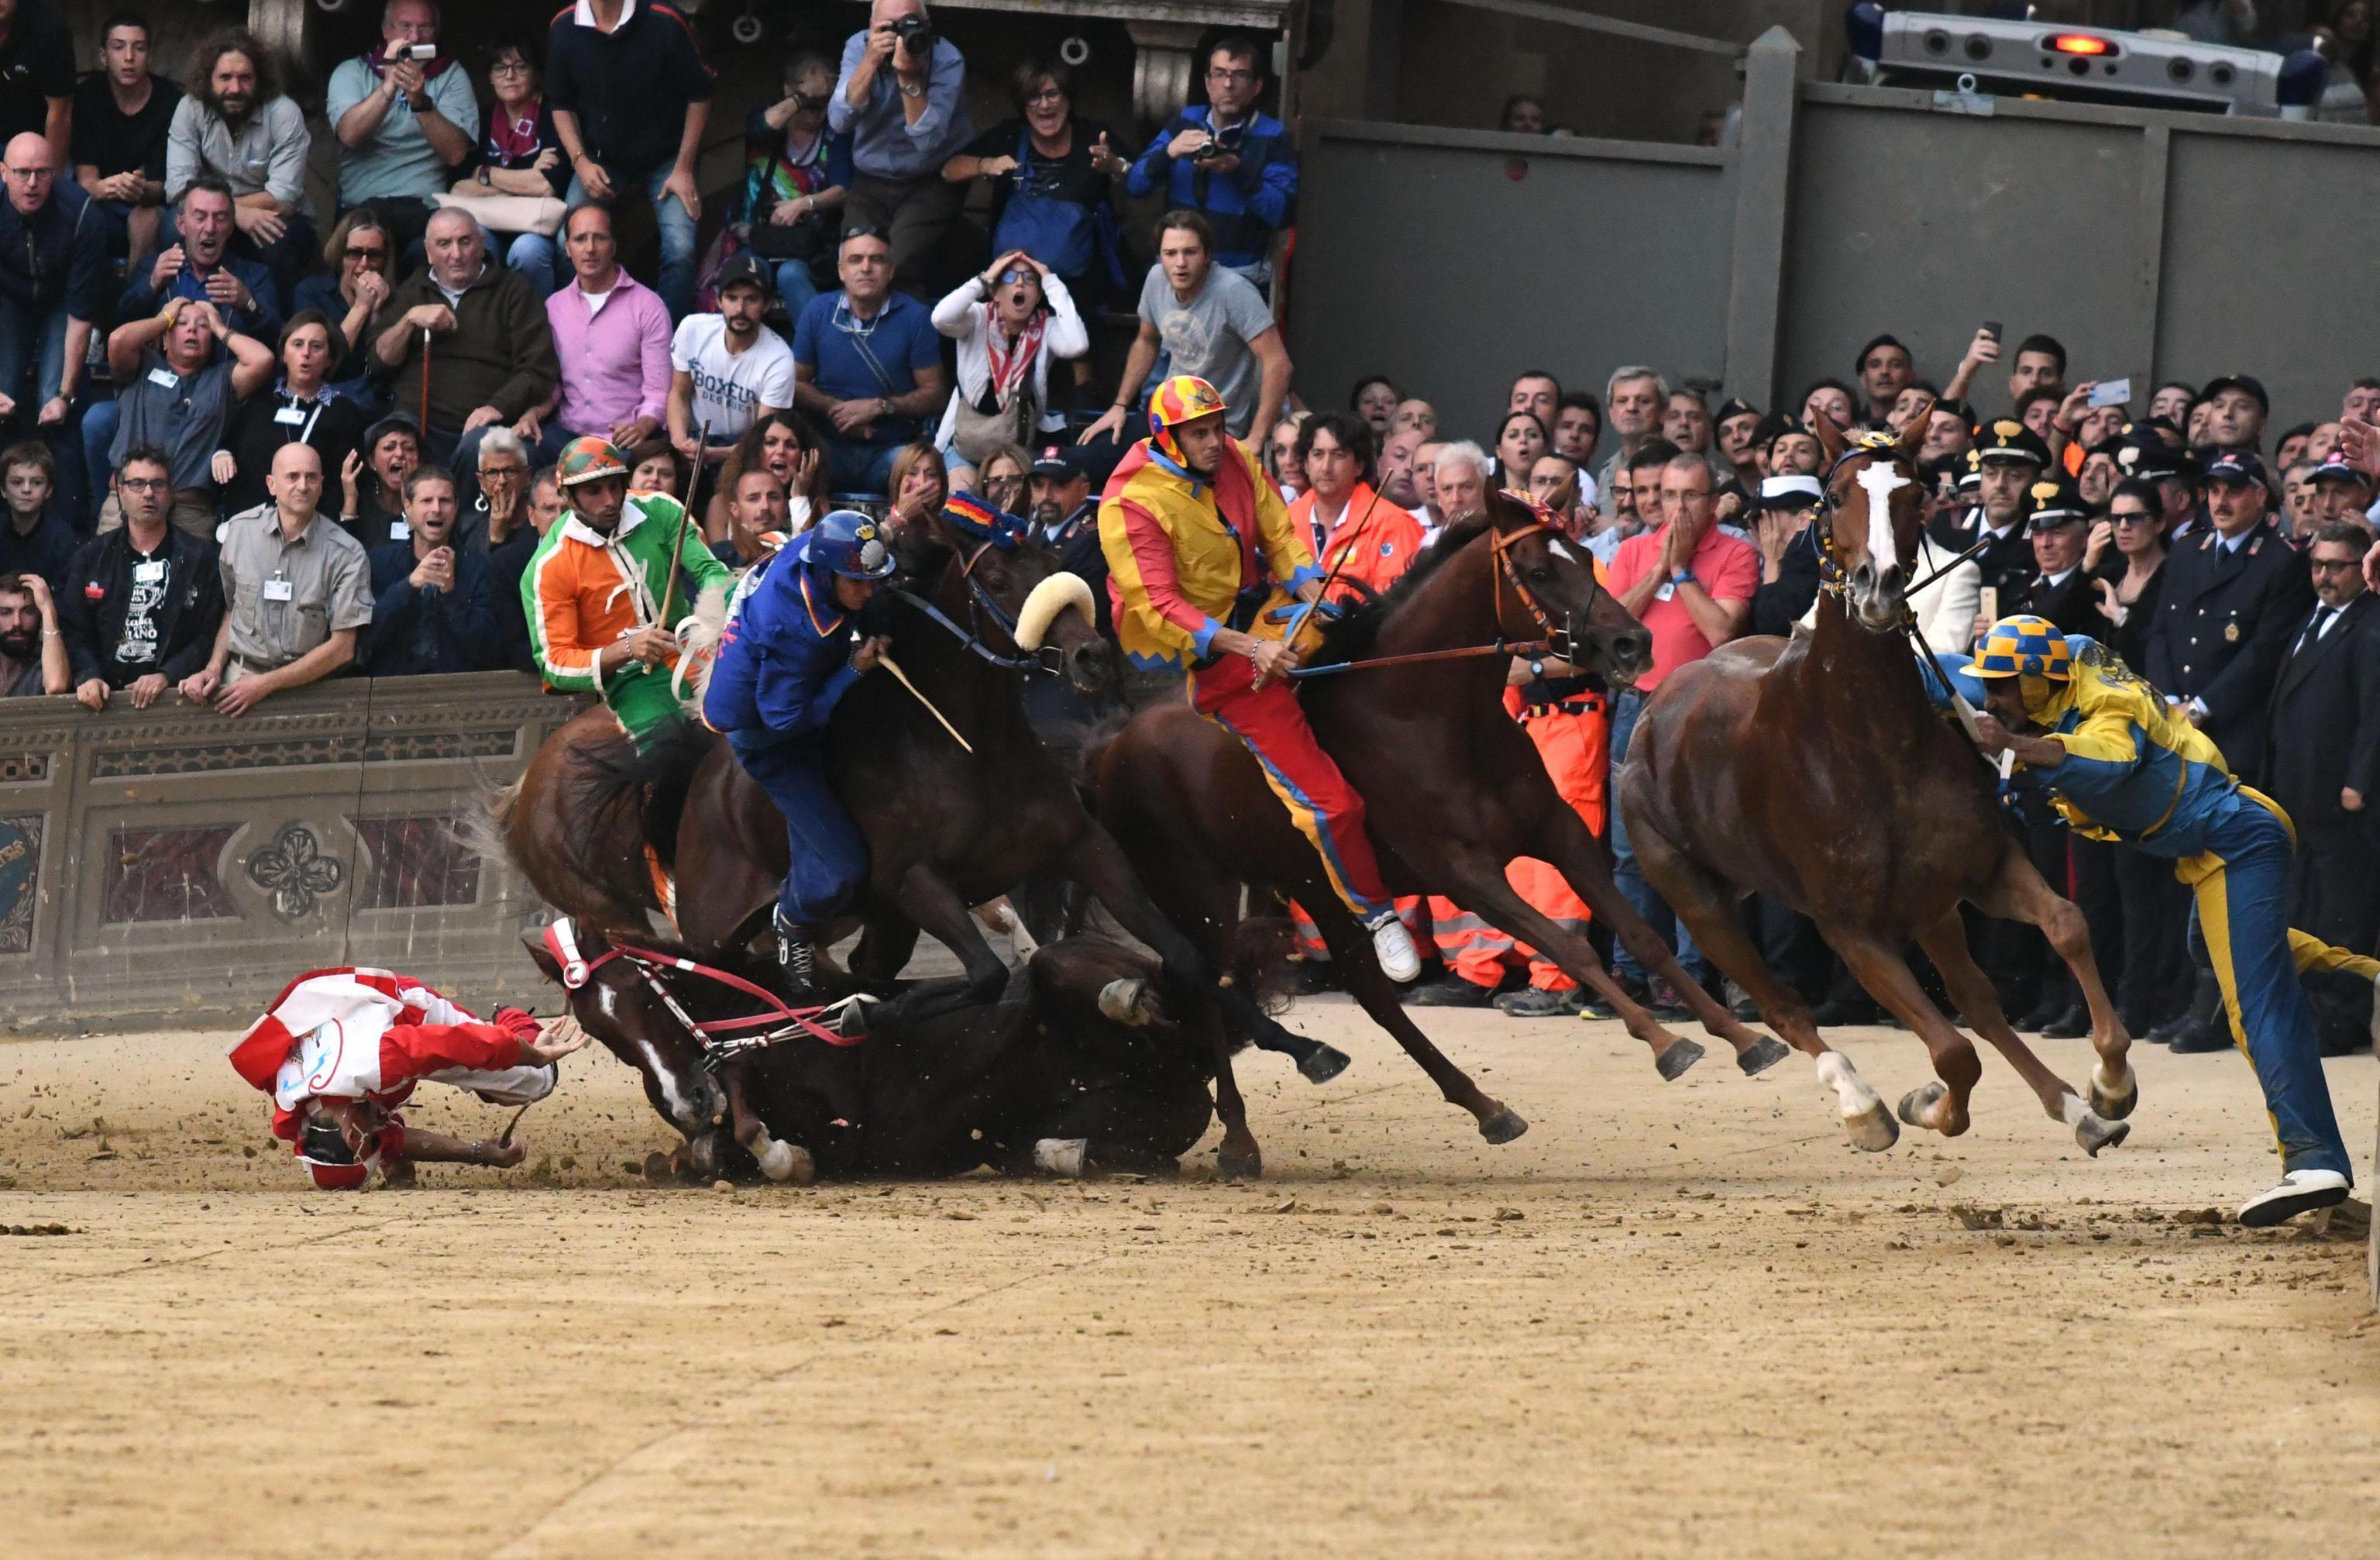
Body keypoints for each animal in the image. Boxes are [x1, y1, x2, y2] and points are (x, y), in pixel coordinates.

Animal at [523, 919, 1222, 1182]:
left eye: (640, 991)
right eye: (602, 1031)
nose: (687, 1100)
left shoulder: (854, 1129)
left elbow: (757, 1128)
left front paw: (780, 1151)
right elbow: (693, 1155)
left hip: (1073, 969)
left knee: (1175, 1023)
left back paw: (1129, 996)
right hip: (1105, 1118)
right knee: (1056, 1143)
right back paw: (1071, 1150)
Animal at [1093, 487, 1797, 1178]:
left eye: (1585, 558)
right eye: (1540, 571)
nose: (1633, 643)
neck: (1423, 714)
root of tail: (1116, 740)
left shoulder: (1560, 832)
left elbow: (1642, 935)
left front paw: (1742, 1037)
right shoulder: (1464, 872)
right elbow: (1571, 948)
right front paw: (1665, 1041)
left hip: (1315, 884)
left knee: (1373, 995)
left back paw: (1482, 1105)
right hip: (1199, 890)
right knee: (1206, 985)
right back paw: (1240, 1138)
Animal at [1615, 405, 2137, 1155]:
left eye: (1915, 496)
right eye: (1836, 498)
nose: (1879, 585)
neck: (1872, 744)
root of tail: (1659, 703)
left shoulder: (1979, 869)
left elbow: (2064, 925)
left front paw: (2109, 1083)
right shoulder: (1853, 928)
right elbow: (1953, 1053)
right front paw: (1926, 1104)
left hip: (1922, 904)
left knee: (1978, 998)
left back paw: (2075, 1108)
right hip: (1692, 890)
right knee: (1783, 1006)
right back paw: (1860, 1102)